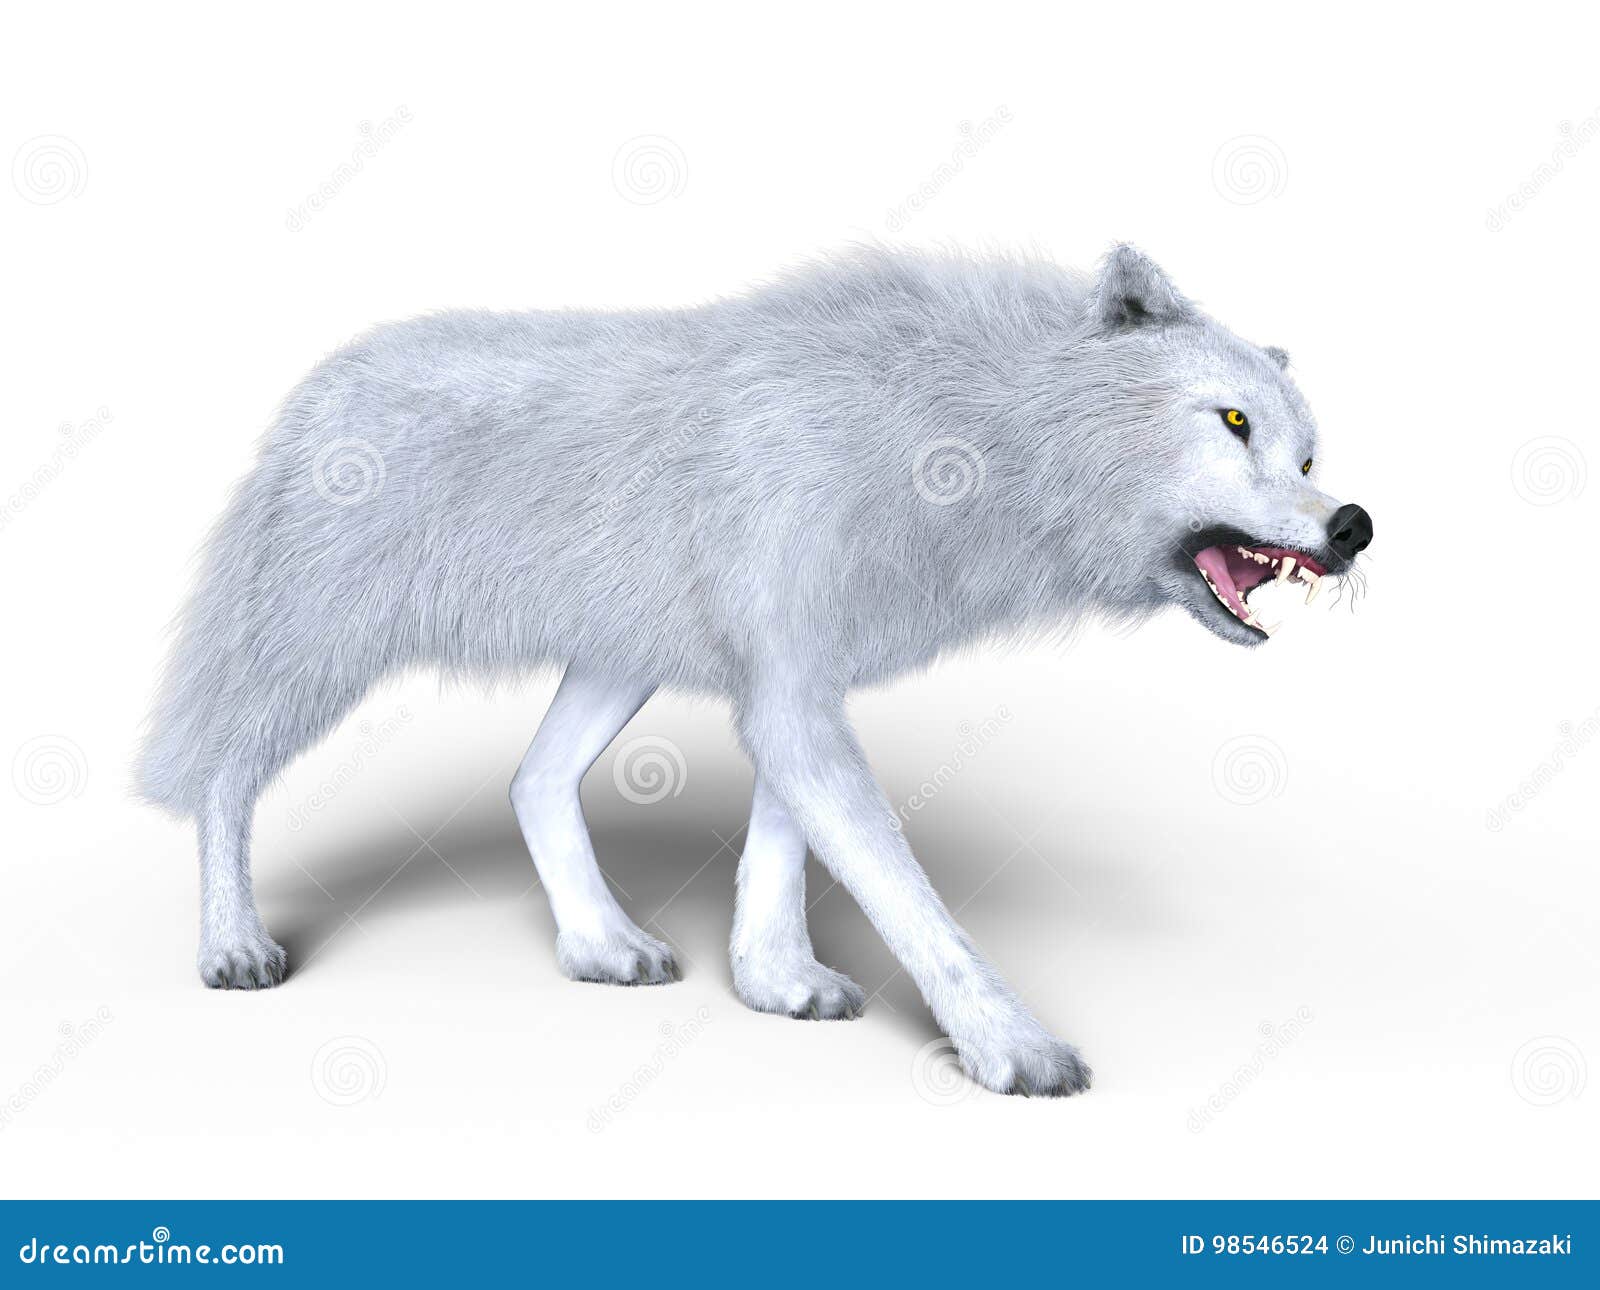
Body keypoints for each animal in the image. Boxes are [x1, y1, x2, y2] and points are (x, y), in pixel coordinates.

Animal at [137, 245, 1372, 1096]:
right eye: (1232, 421)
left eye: (1308, 453)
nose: (1353, 524)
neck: (957, 435)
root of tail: (319, 385)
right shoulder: (792, 697)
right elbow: (909, 899)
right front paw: (1012, 1048)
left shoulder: (796, 685)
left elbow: (780, 856)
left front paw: (775, 983)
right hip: (320, 651)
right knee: (223, 777)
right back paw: (233, 947)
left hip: (612, 665)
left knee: (530, 781)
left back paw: (601, 946)